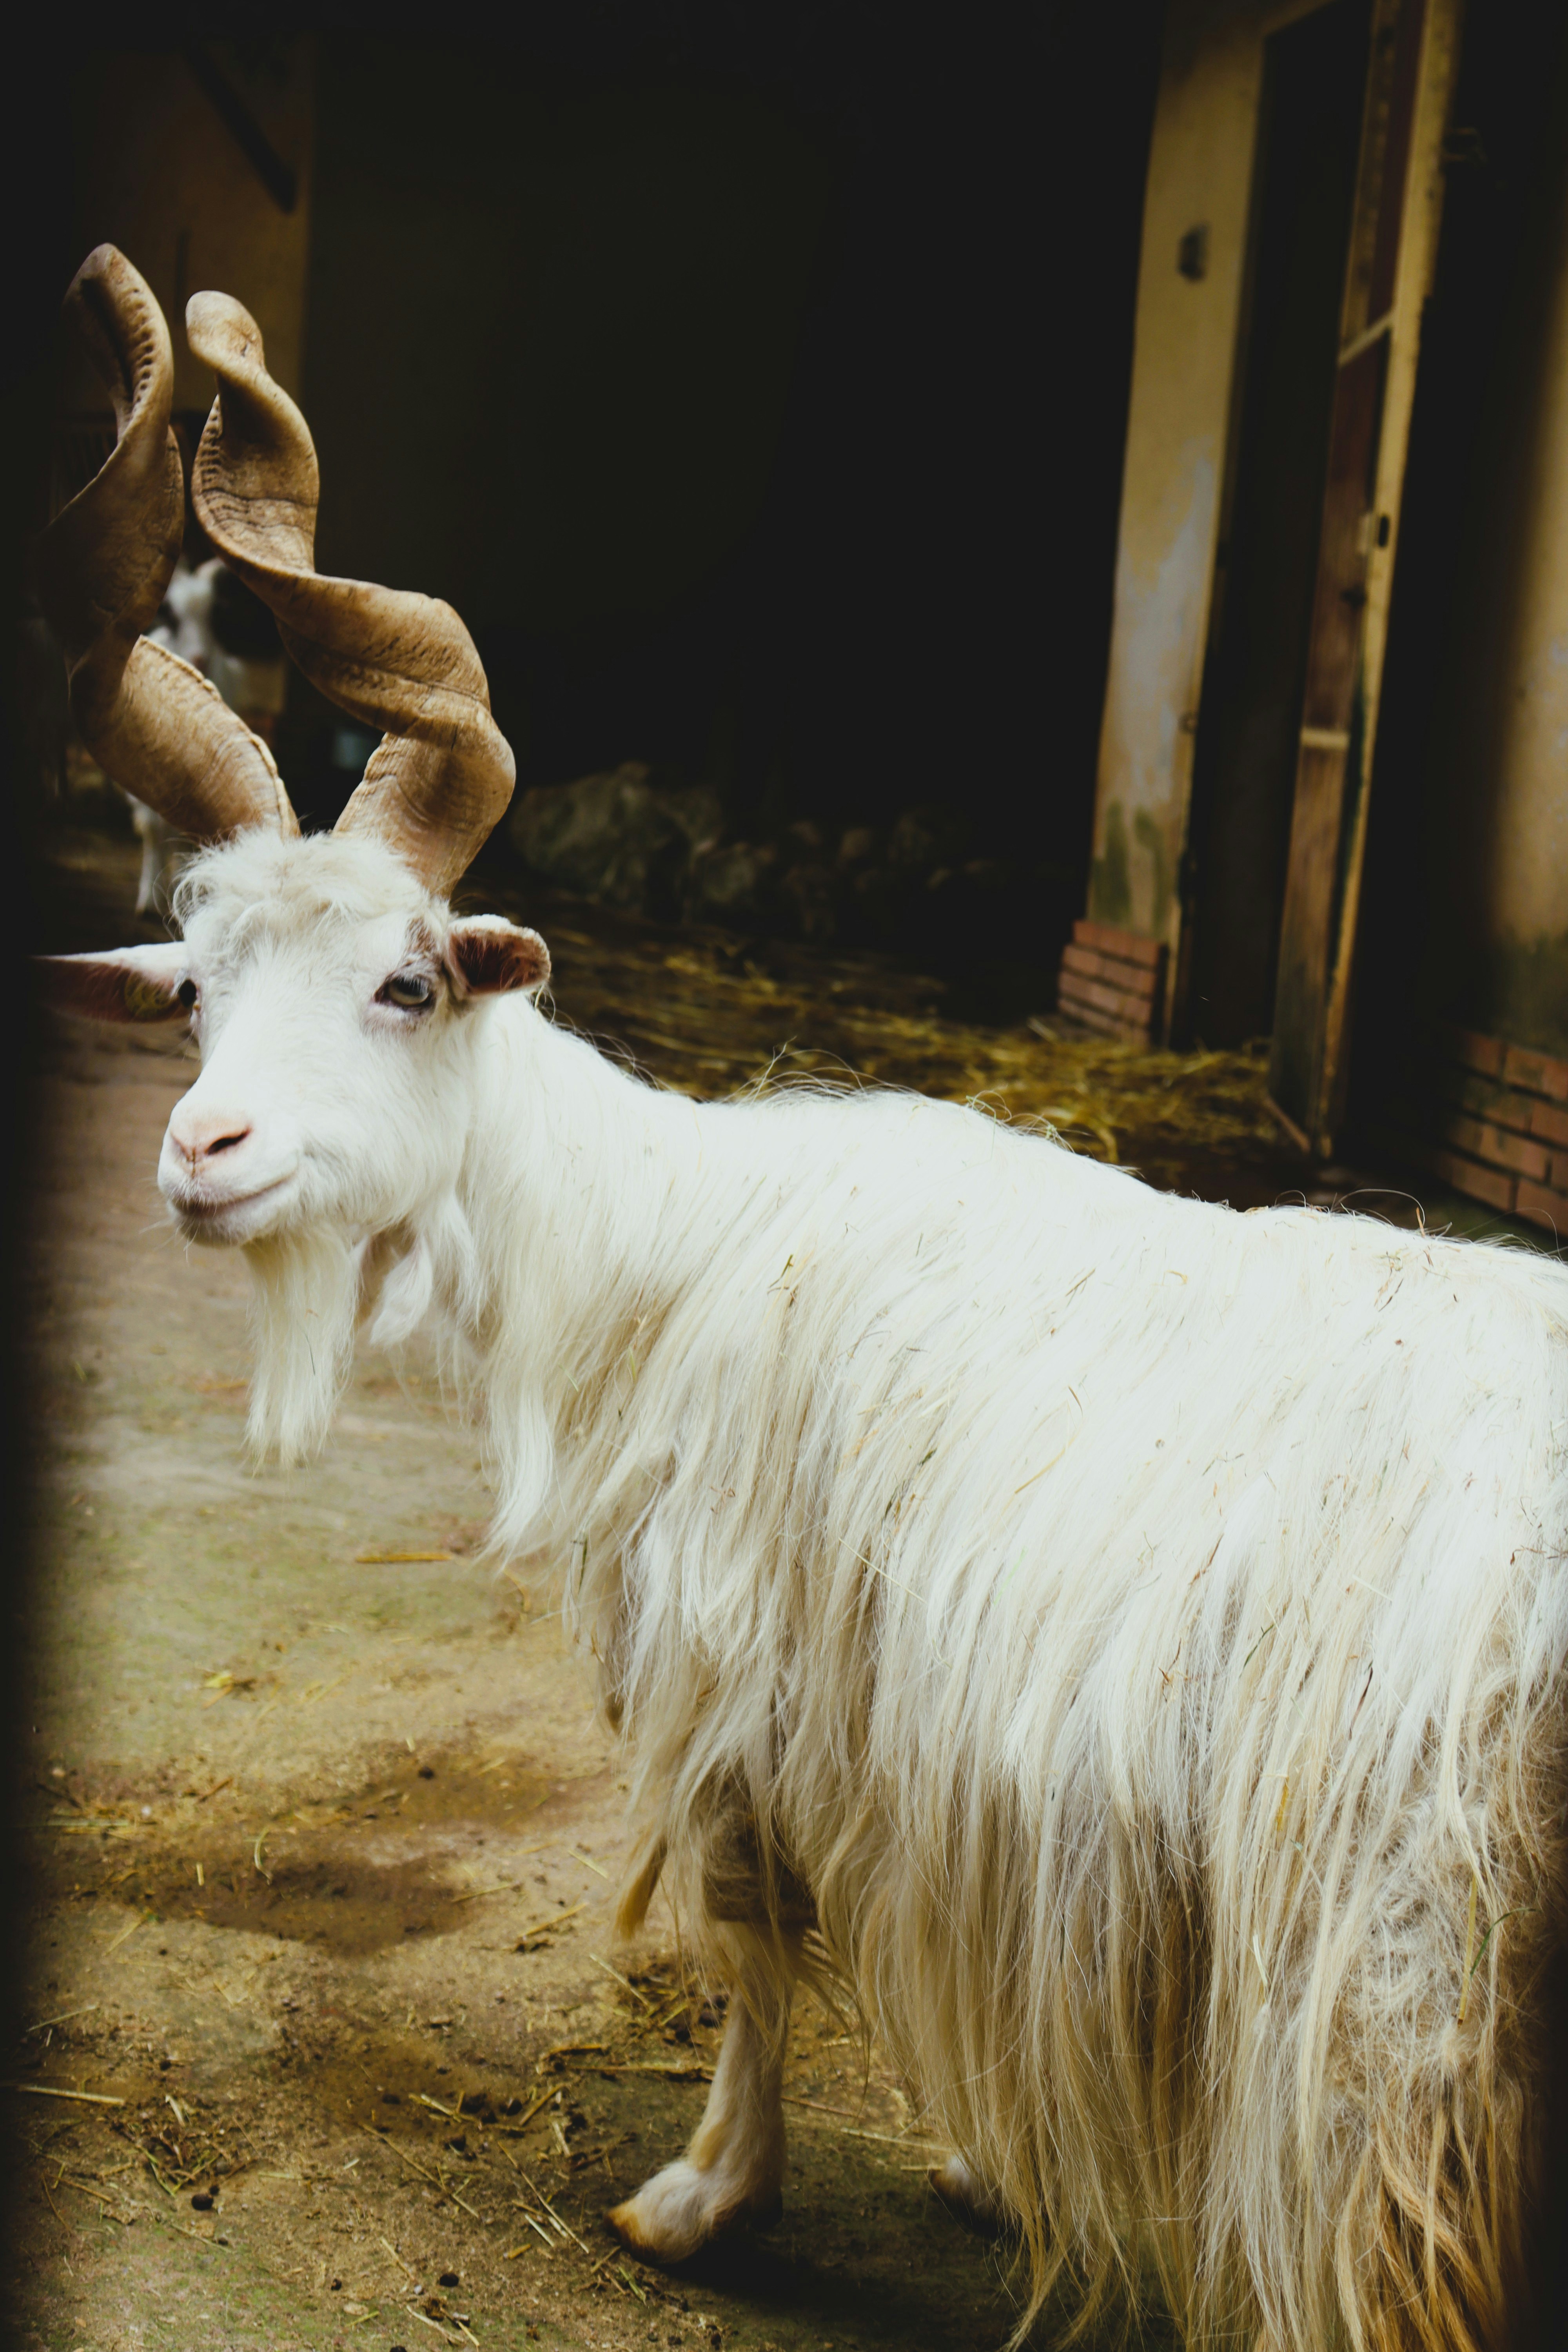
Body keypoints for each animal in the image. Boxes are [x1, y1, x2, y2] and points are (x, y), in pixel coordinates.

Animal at [34, 247, 1568, 2352]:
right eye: (190, 989)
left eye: (411, 982)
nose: (206, 1154)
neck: (670, 1240)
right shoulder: (944, 1763)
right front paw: (987, 2164)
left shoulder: (750, 1684)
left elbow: (757, 1939)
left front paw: (701, 2199)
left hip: (1393, 2040)